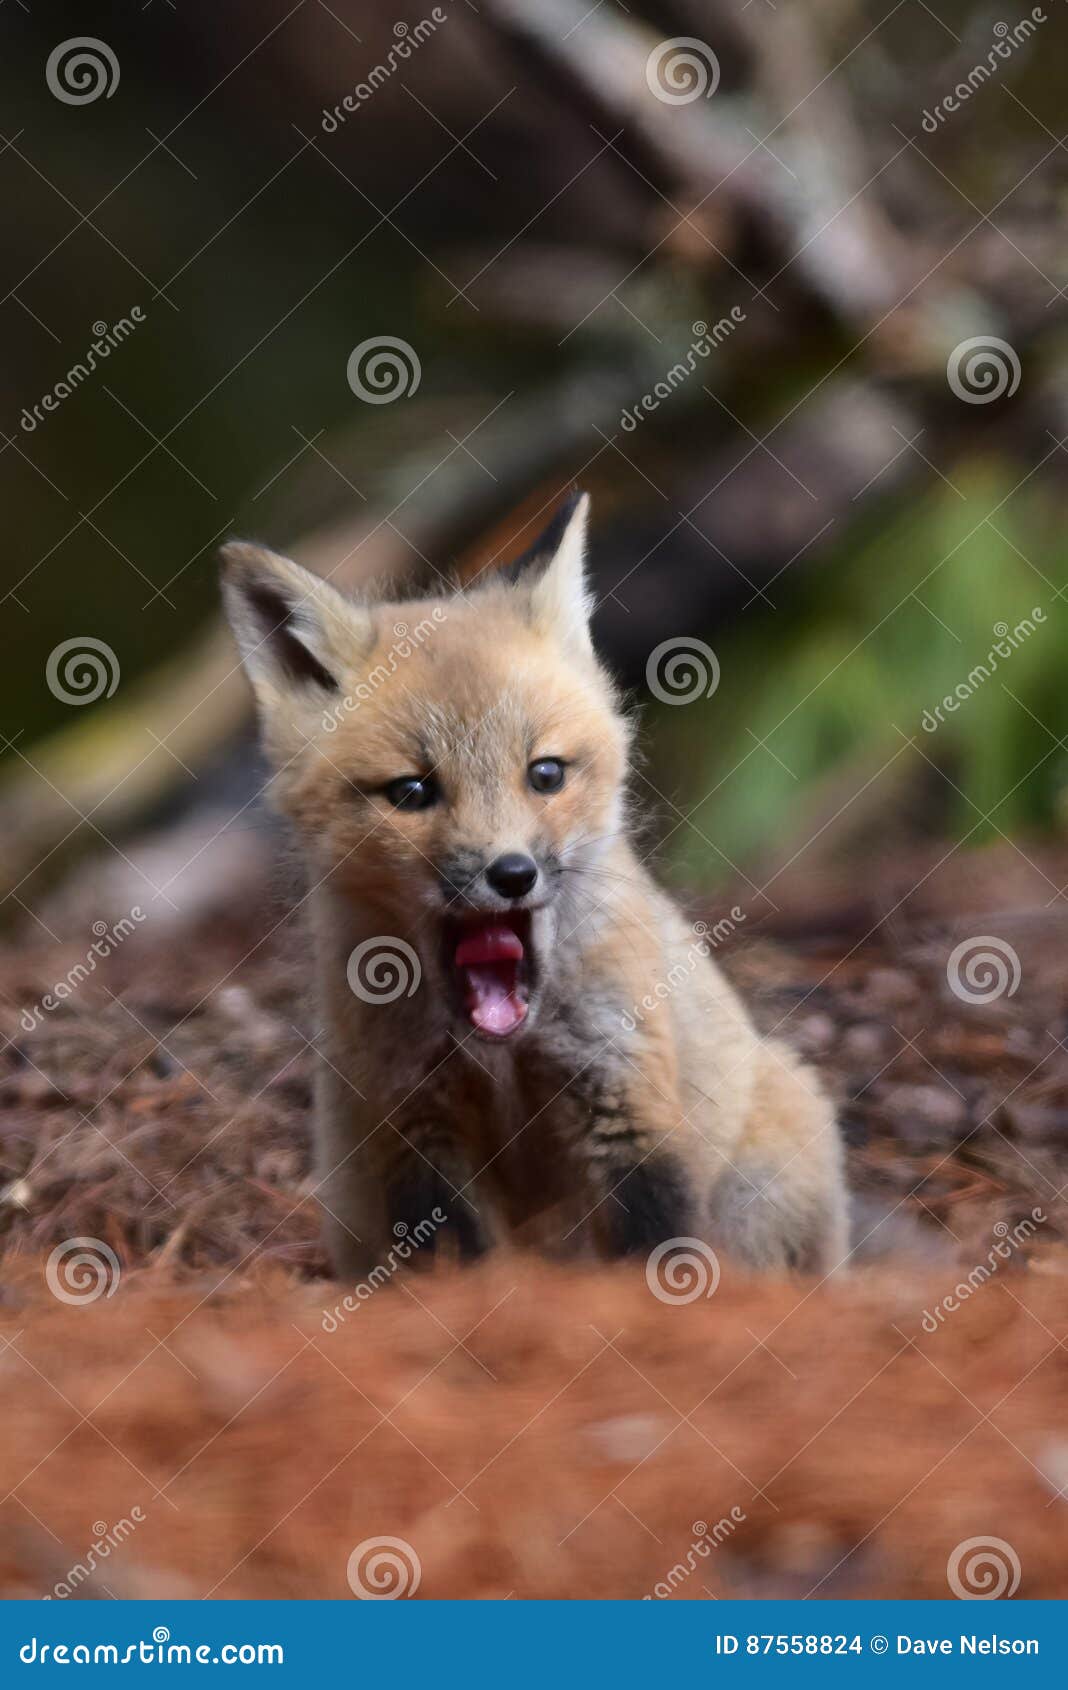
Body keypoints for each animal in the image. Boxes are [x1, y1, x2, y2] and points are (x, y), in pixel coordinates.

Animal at [221, 492, 847, 1280]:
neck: (505, 1055)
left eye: (544, 774)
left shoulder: (624, 1095)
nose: (512, 872)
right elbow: (455, 1269)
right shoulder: (413, 1126)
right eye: (412, 791)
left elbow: (654, 1250)